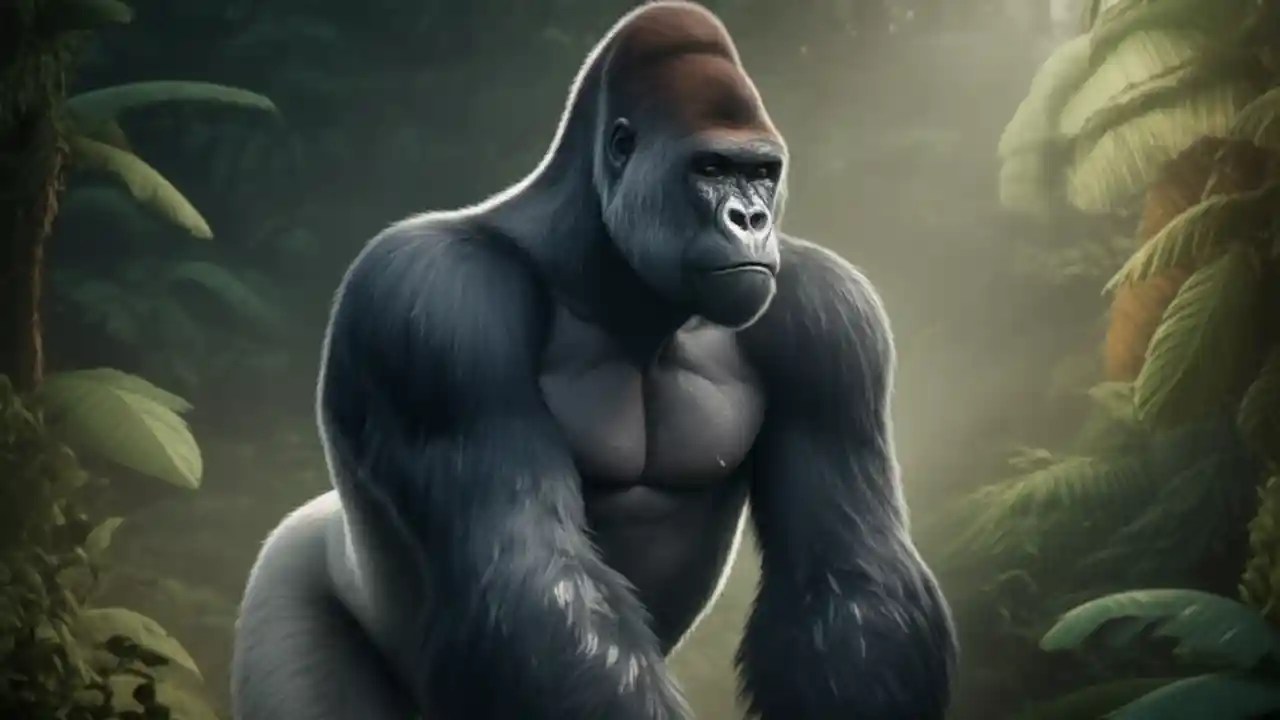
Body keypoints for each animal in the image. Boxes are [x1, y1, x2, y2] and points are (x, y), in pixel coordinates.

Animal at [231, 3, 956, 719]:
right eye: (710, 168)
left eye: (762, 173)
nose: (750, 220)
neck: (602, 270)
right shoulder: (432, 296)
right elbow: (533, 575)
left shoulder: (830, 315)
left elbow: (850, 578)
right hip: (288, 572)